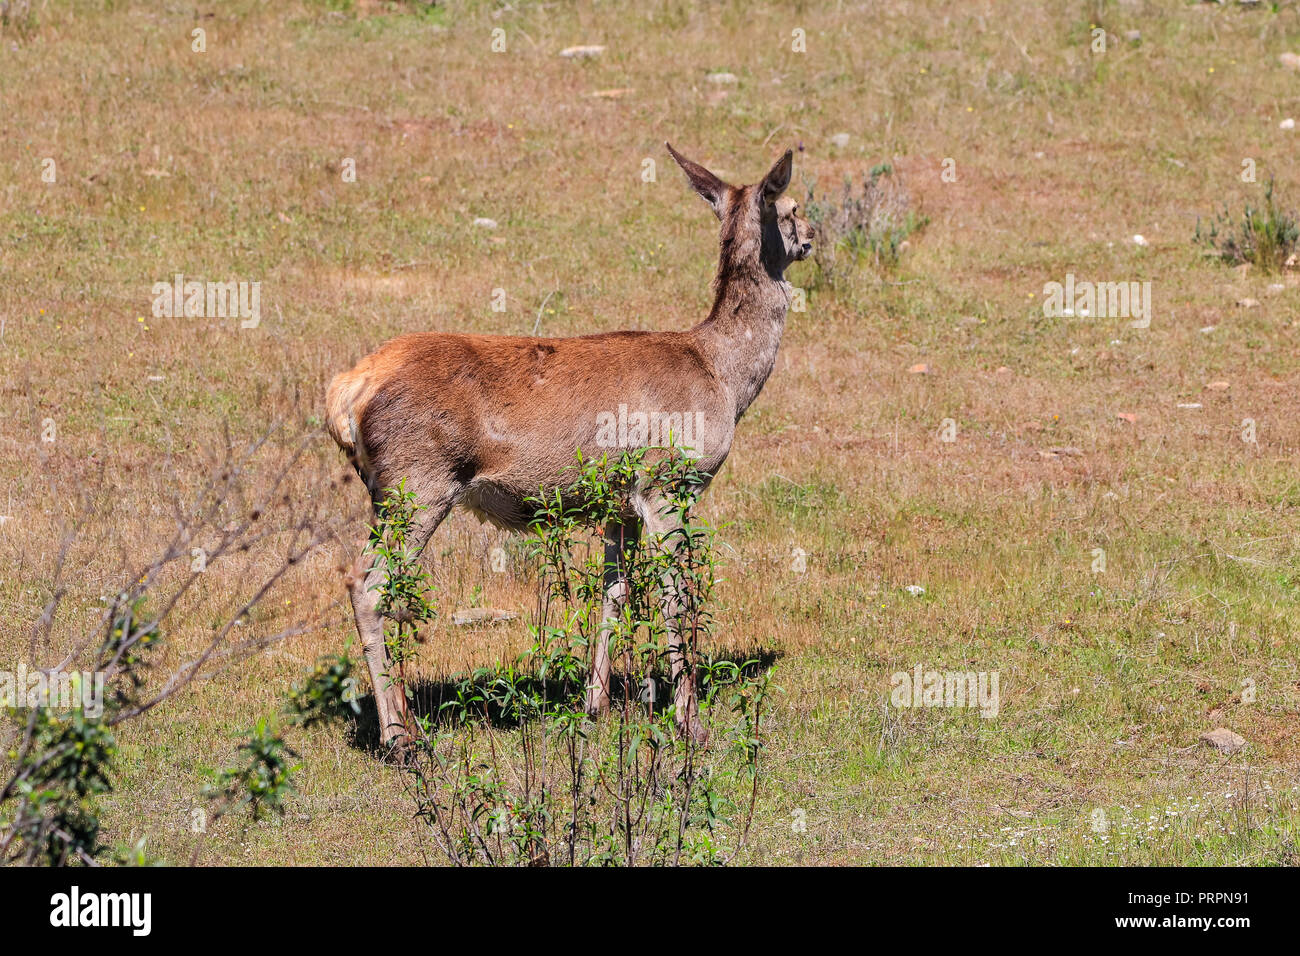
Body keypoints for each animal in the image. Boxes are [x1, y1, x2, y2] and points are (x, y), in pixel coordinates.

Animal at [326, 143, 814, 750]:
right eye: (791, 207)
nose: (813, 234)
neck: (723, 377)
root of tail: (345, 391)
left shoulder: (619, 503)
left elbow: (614, 591)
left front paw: (594, 706)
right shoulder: (666, 482)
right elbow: (676, 596)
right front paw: (690, 723)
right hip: (417, 484)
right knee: (366, 584)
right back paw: (401, 737)